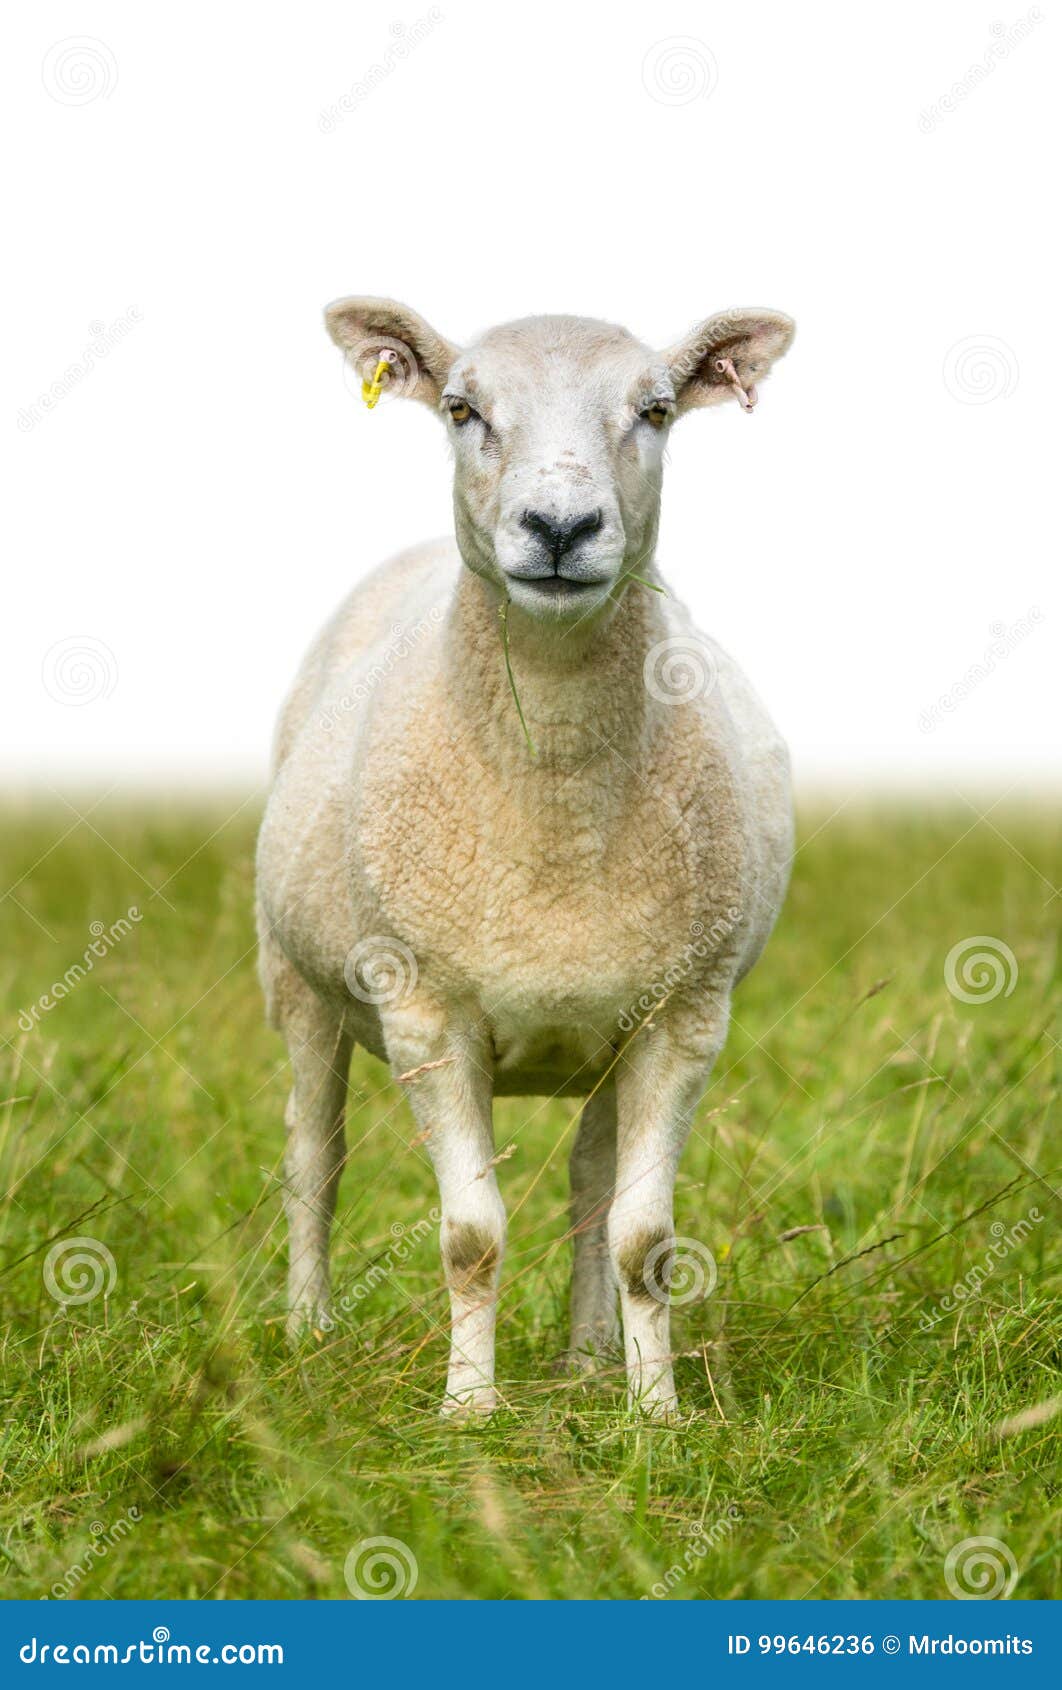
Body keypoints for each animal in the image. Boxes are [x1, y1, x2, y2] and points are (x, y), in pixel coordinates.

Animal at [256, 298, 795, 1417]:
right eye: (463, 409)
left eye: (657, 409)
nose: (558, 529)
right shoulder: (426, 1013)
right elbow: (470, 1237)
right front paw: (468, 1410)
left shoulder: (684, 1016)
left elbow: (643, 1237)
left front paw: (655, 1414)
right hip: (297, 978)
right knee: (313, 1153)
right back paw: (306, 1330)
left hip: (606, 1029)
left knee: (592, 1181)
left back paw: (587, 1359)